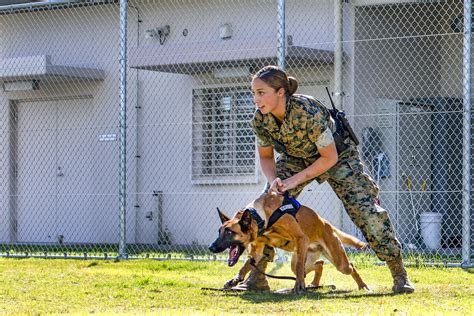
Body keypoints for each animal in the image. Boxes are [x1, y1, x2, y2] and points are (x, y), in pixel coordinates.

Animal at [208, 191, 370, 296]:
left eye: (229, 233)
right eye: (219, 231)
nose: (211, 247)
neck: (261, 216)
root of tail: (326, 223)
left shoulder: (302, 238)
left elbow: (299, 270)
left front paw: (298, 286)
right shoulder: (257, 251)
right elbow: (246, 265)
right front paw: (235, 280)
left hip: (338, 262)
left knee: (349, 267)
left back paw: (363, 286)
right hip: (303, 257)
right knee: (319, 264)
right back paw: (314, 284)